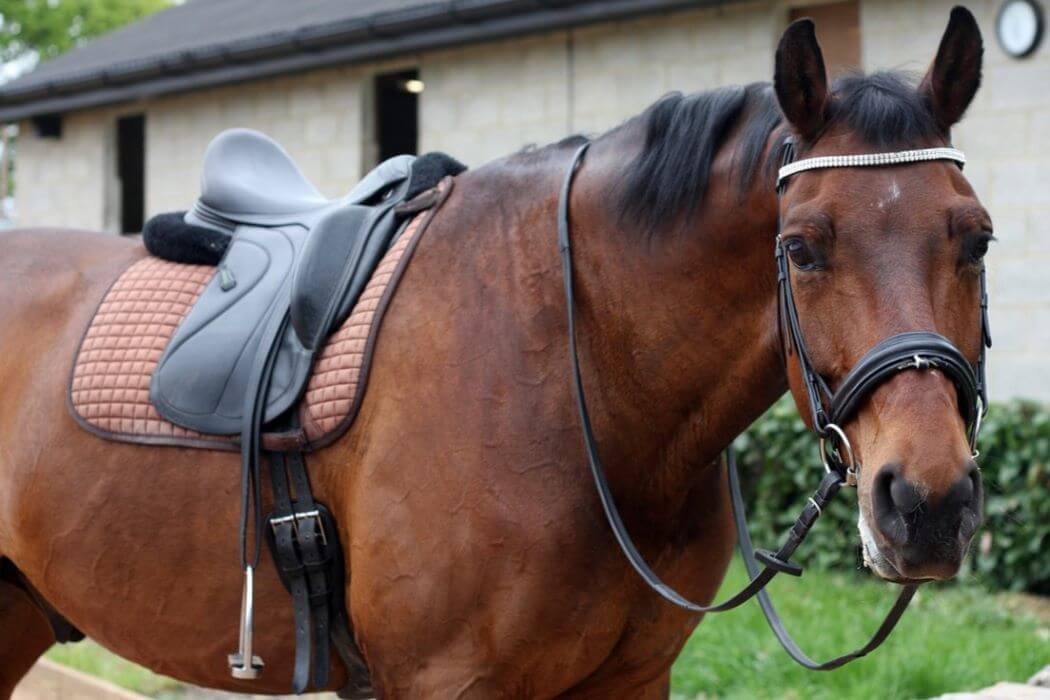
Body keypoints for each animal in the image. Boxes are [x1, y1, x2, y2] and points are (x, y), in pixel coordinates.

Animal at [0, 7, 990, 698]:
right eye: (801, 248)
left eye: (976, 238)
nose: (928, 501)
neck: (579, 380)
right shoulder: (447, 682)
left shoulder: (630, 678)